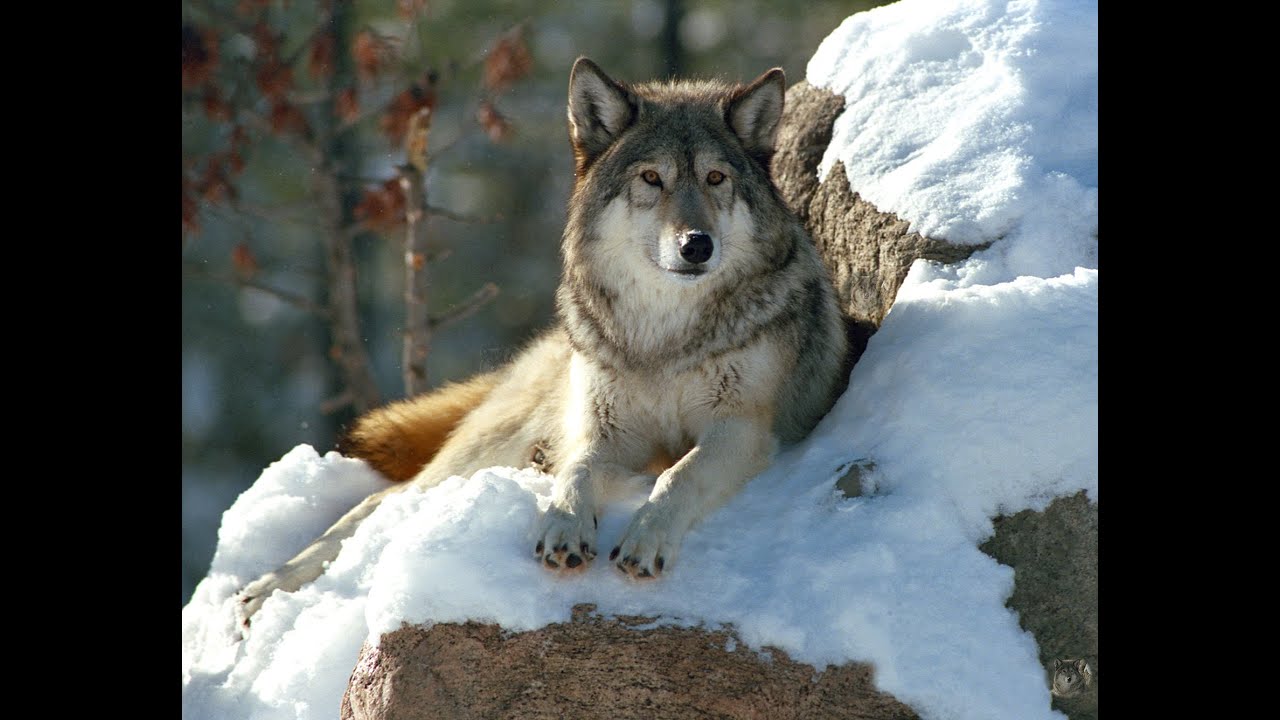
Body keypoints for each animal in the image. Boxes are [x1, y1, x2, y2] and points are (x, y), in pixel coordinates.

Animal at [236, 57, 849, 626]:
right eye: (652, 179)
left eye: (717, 179)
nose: (696, 245)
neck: (663, 339)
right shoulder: (603, 429)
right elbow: (577, 469)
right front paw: (564, 525)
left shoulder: (742, 428)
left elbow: (680, 474)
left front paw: (645, 537)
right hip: (492, 449)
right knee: (379, 500)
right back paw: (265, 588)